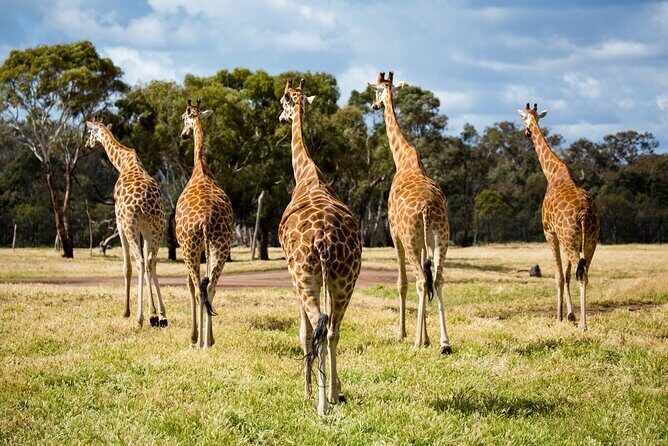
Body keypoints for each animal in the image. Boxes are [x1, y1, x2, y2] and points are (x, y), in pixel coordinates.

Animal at [85, 118, 167, 327]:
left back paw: (140, 318)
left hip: (131, 227)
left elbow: (127, 268)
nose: (87, 144)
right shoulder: (144, 231)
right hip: (158, 229)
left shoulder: (120, 224)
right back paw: (161, 316)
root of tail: (146, 204)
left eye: (90, 132)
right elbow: (148, 265)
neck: (125, 163)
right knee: (151, 261)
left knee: (139, 261)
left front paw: (126, 312)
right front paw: (153, 313)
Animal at [369, 71, 452, 354]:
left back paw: (417, 341)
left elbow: (401, 283)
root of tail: (427, 209)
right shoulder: (424, 242)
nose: (374, 105)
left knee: (420, 281)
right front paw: (427, 337)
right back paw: (444, 343)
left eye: (375, 91)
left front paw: (404, 334)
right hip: (440, 238)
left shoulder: (394, 234)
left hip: (411, 240)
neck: (402, 158)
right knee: (437, 279)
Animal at [518, 103, 600, 329]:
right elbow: (567, 273)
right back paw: (581, 321)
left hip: (570, 238)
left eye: (524, 119)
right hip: (589, 240)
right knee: (584, 271)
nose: (526, 132)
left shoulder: (550, 232)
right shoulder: (567, 238)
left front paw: (560, 317)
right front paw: (570, 315)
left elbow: (558, 275)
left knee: (580, 274)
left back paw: (584, 325)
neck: (553, 173)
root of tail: (585, 213)